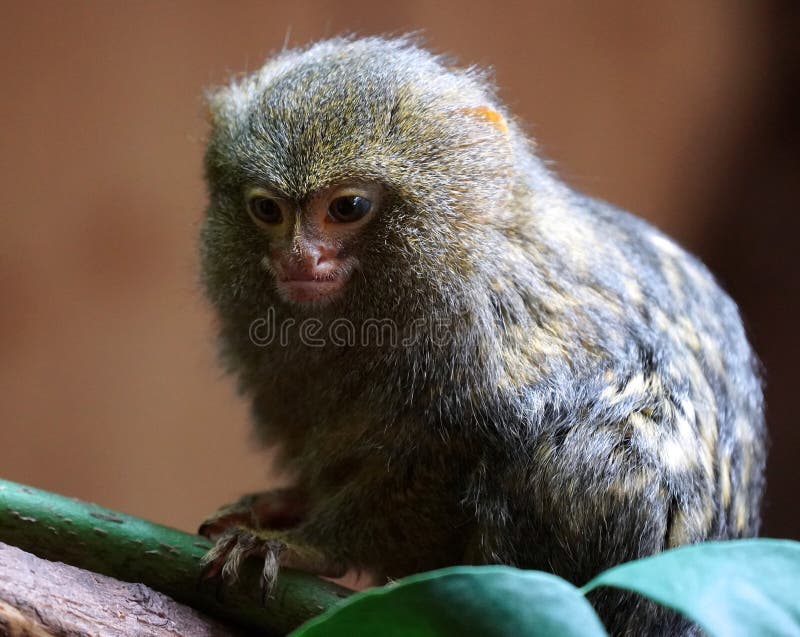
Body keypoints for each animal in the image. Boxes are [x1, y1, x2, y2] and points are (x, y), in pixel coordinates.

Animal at [197, 36, 766, 636]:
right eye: (267, 209)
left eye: (347, 207)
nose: (299, 257)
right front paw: (285, 503)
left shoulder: (493, 344)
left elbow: (453, 459)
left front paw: (308, 543)